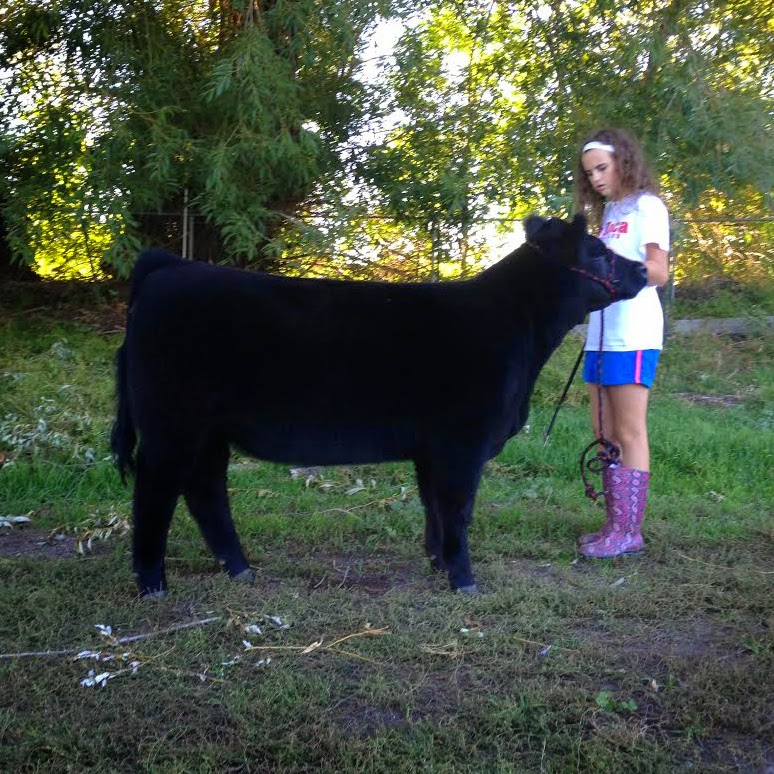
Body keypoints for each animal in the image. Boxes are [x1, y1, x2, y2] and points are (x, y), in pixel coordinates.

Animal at [112, 214, 648, 598]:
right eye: (599, 252)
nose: (644, 268)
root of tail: (172, 265)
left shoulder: (432, 448)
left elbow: (434, 508)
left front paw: (437, 564)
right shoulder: (462, 442)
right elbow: (458, 510)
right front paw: (464, 581)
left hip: (208, 432)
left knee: (205, 492)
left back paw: (240, 570)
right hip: (171, 425)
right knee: (156, 492)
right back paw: (153, 584)